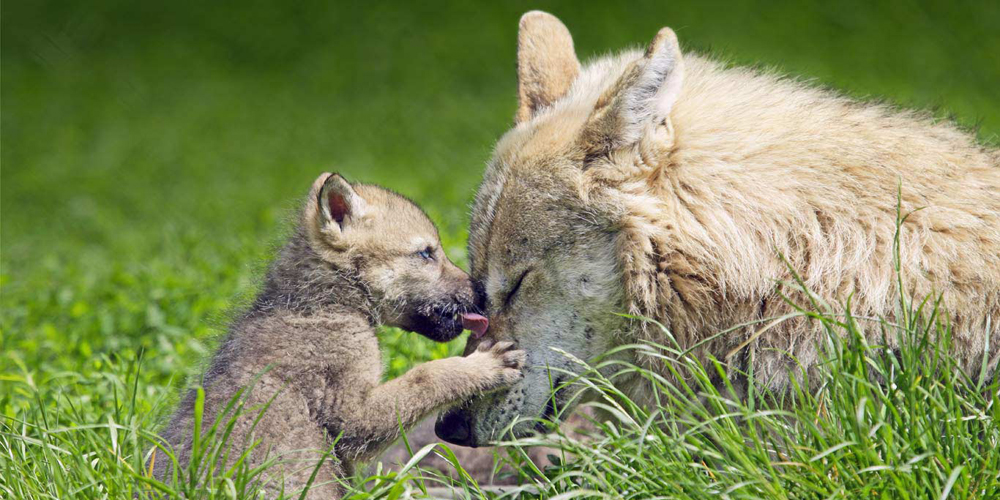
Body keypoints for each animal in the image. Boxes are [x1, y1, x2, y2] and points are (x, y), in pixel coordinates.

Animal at [154, 173, 523, 498]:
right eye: (426, 253)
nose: (479, 292)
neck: (323, 303)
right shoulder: (351, 413)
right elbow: (427, 376)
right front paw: (483, 366)